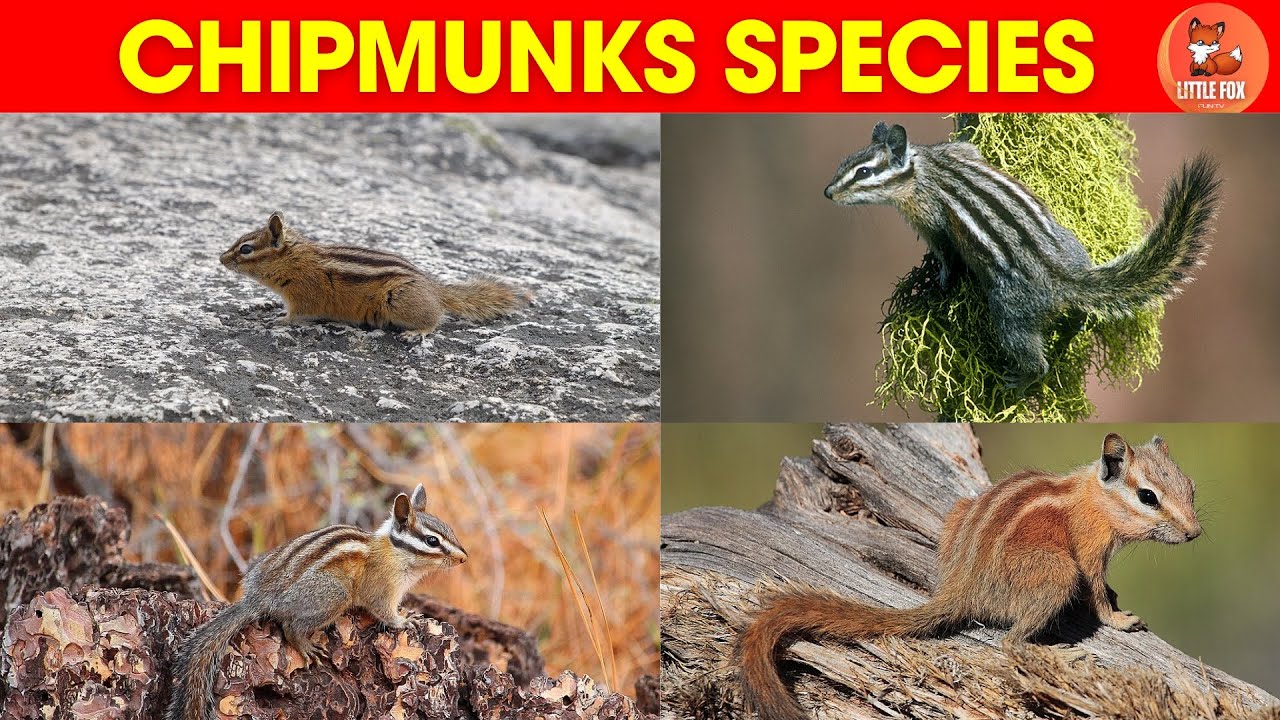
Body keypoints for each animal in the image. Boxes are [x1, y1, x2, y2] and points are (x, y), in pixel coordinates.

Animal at [165, 484, 467, 720]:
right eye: (432, 541)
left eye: (450, 530)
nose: (464, 558)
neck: (395, 553)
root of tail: (258, 597)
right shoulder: (381, 587)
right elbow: (383, 610)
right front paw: (405, 621)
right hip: (334, 594)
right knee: (290, 626)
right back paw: (304, 644)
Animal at [220, 211, 532, 336]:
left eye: (245, 249)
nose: (221, 259)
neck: (294, 260)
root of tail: (432, 287)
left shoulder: (304, 296)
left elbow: (298, 315)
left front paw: (279, 320)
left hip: (399, 299)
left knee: (435, 318)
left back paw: (417, 332)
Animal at [739, 433, 1201, 720]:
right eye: (1147, 496)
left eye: (1191, 487)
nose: (1195, 533)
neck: (1094, 497)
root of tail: (963, 585)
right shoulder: (1088, 552)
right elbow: (1097, 596)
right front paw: (1120, 619)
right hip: (1055, 573)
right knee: (1011, 644)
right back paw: (1059, 656)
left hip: (959, 512)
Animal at [823, 121, 1220, 387]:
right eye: (843, 163)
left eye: (863, 172)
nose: (828, 192)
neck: (925, 168)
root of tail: (1063, 276)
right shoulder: (958, 152)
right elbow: (971, 149)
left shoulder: (932, 217)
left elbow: (947, 252)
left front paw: (940, 280)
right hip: (1071, 245)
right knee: (1078, 313)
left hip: (1009, 312)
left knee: (1031, 354)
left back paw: (1025, 378)